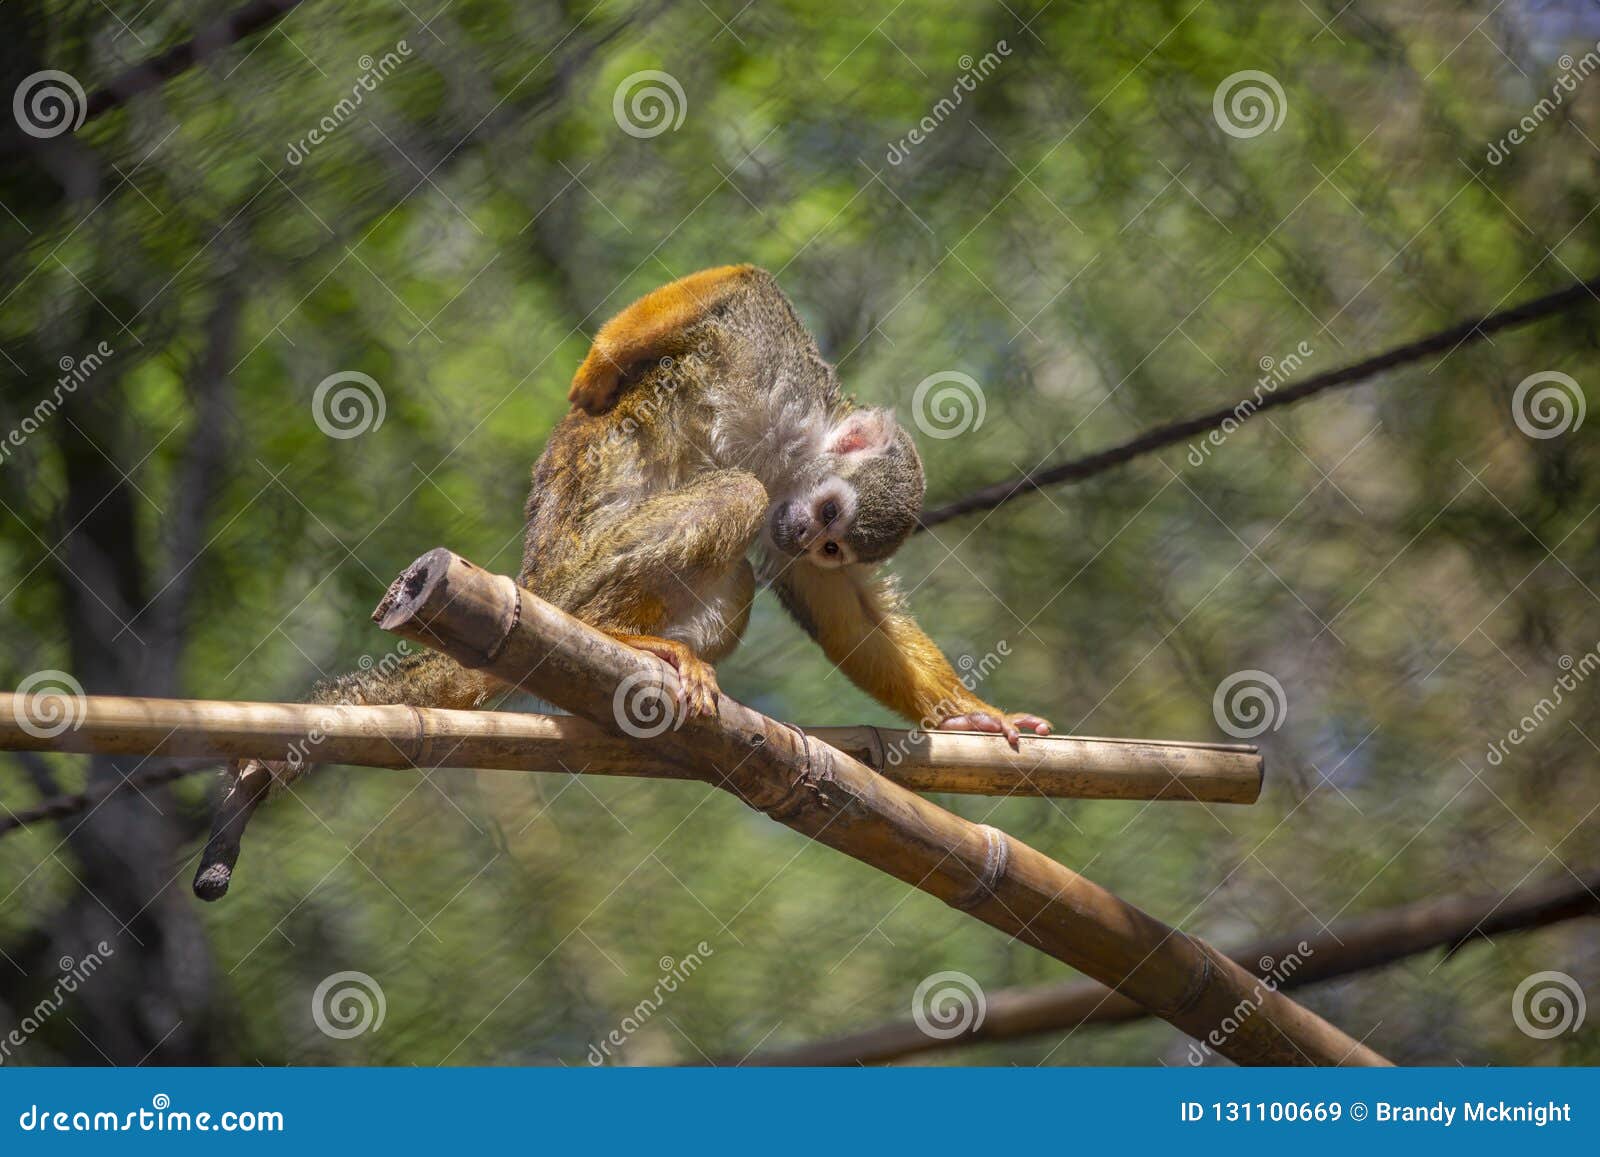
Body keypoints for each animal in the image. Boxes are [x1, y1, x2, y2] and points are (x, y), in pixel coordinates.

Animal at [244, 264, 1051, 796]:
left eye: (831, 542)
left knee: (738, 561)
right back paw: (613, 632)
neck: (793, 450)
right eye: (829, 515)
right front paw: (595, 376)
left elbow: (842, 611)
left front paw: (971, 716)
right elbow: (739, 288)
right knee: (738, 491)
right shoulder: (777, 359)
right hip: (572, 568)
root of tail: (533, 578)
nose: (801, 536)